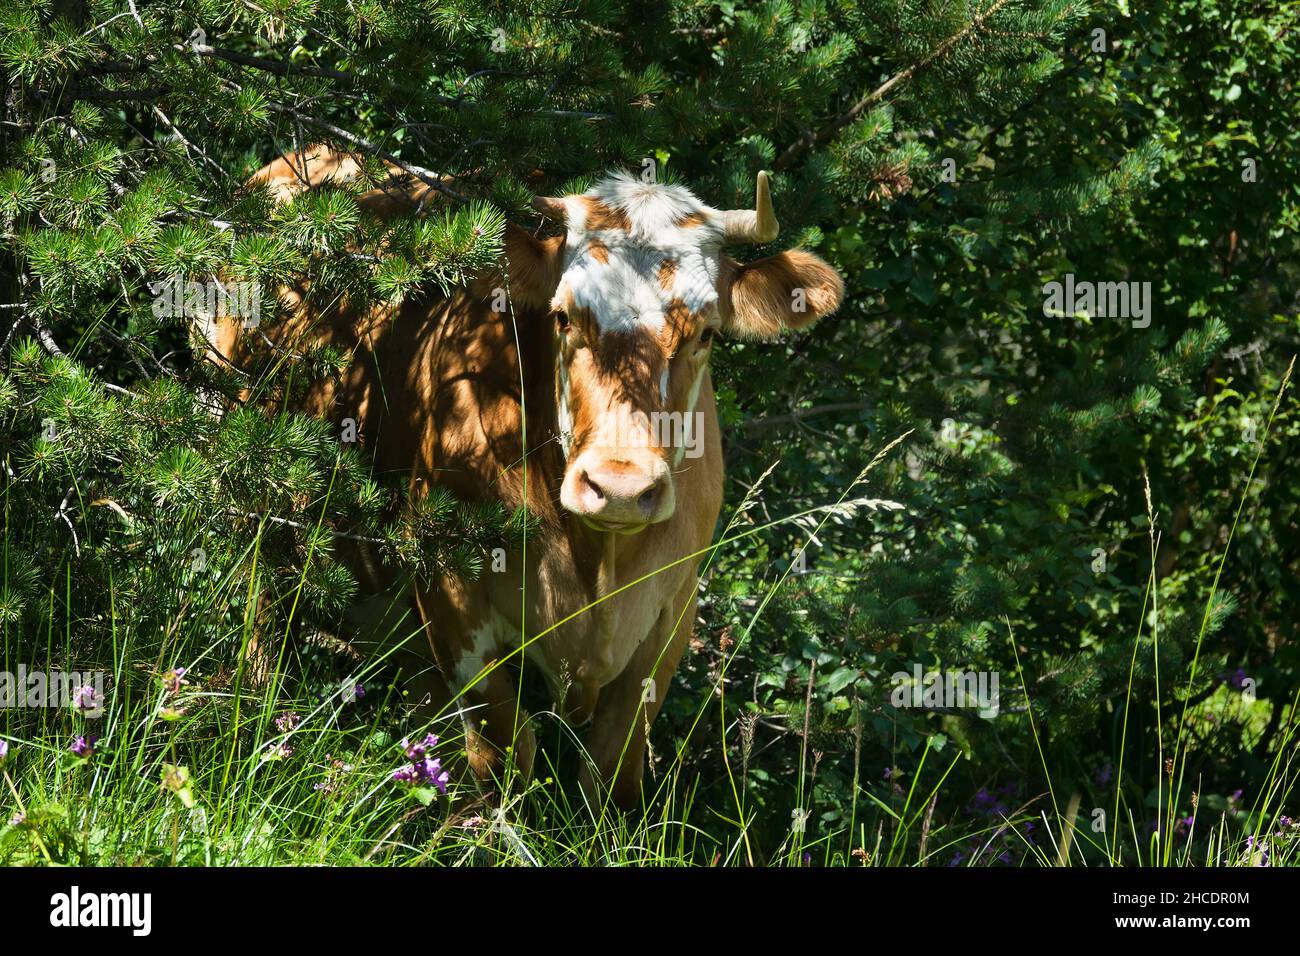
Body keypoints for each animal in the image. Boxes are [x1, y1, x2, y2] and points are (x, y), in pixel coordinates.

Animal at [212, 146, 844, 808]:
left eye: (707, 332)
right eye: (564, 317)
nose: (620, 487)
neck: (596, 562)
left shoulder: (672, 613)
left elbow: (612, 772)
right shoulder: (453, 597)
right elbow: (502, 757)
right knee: (260, 629)